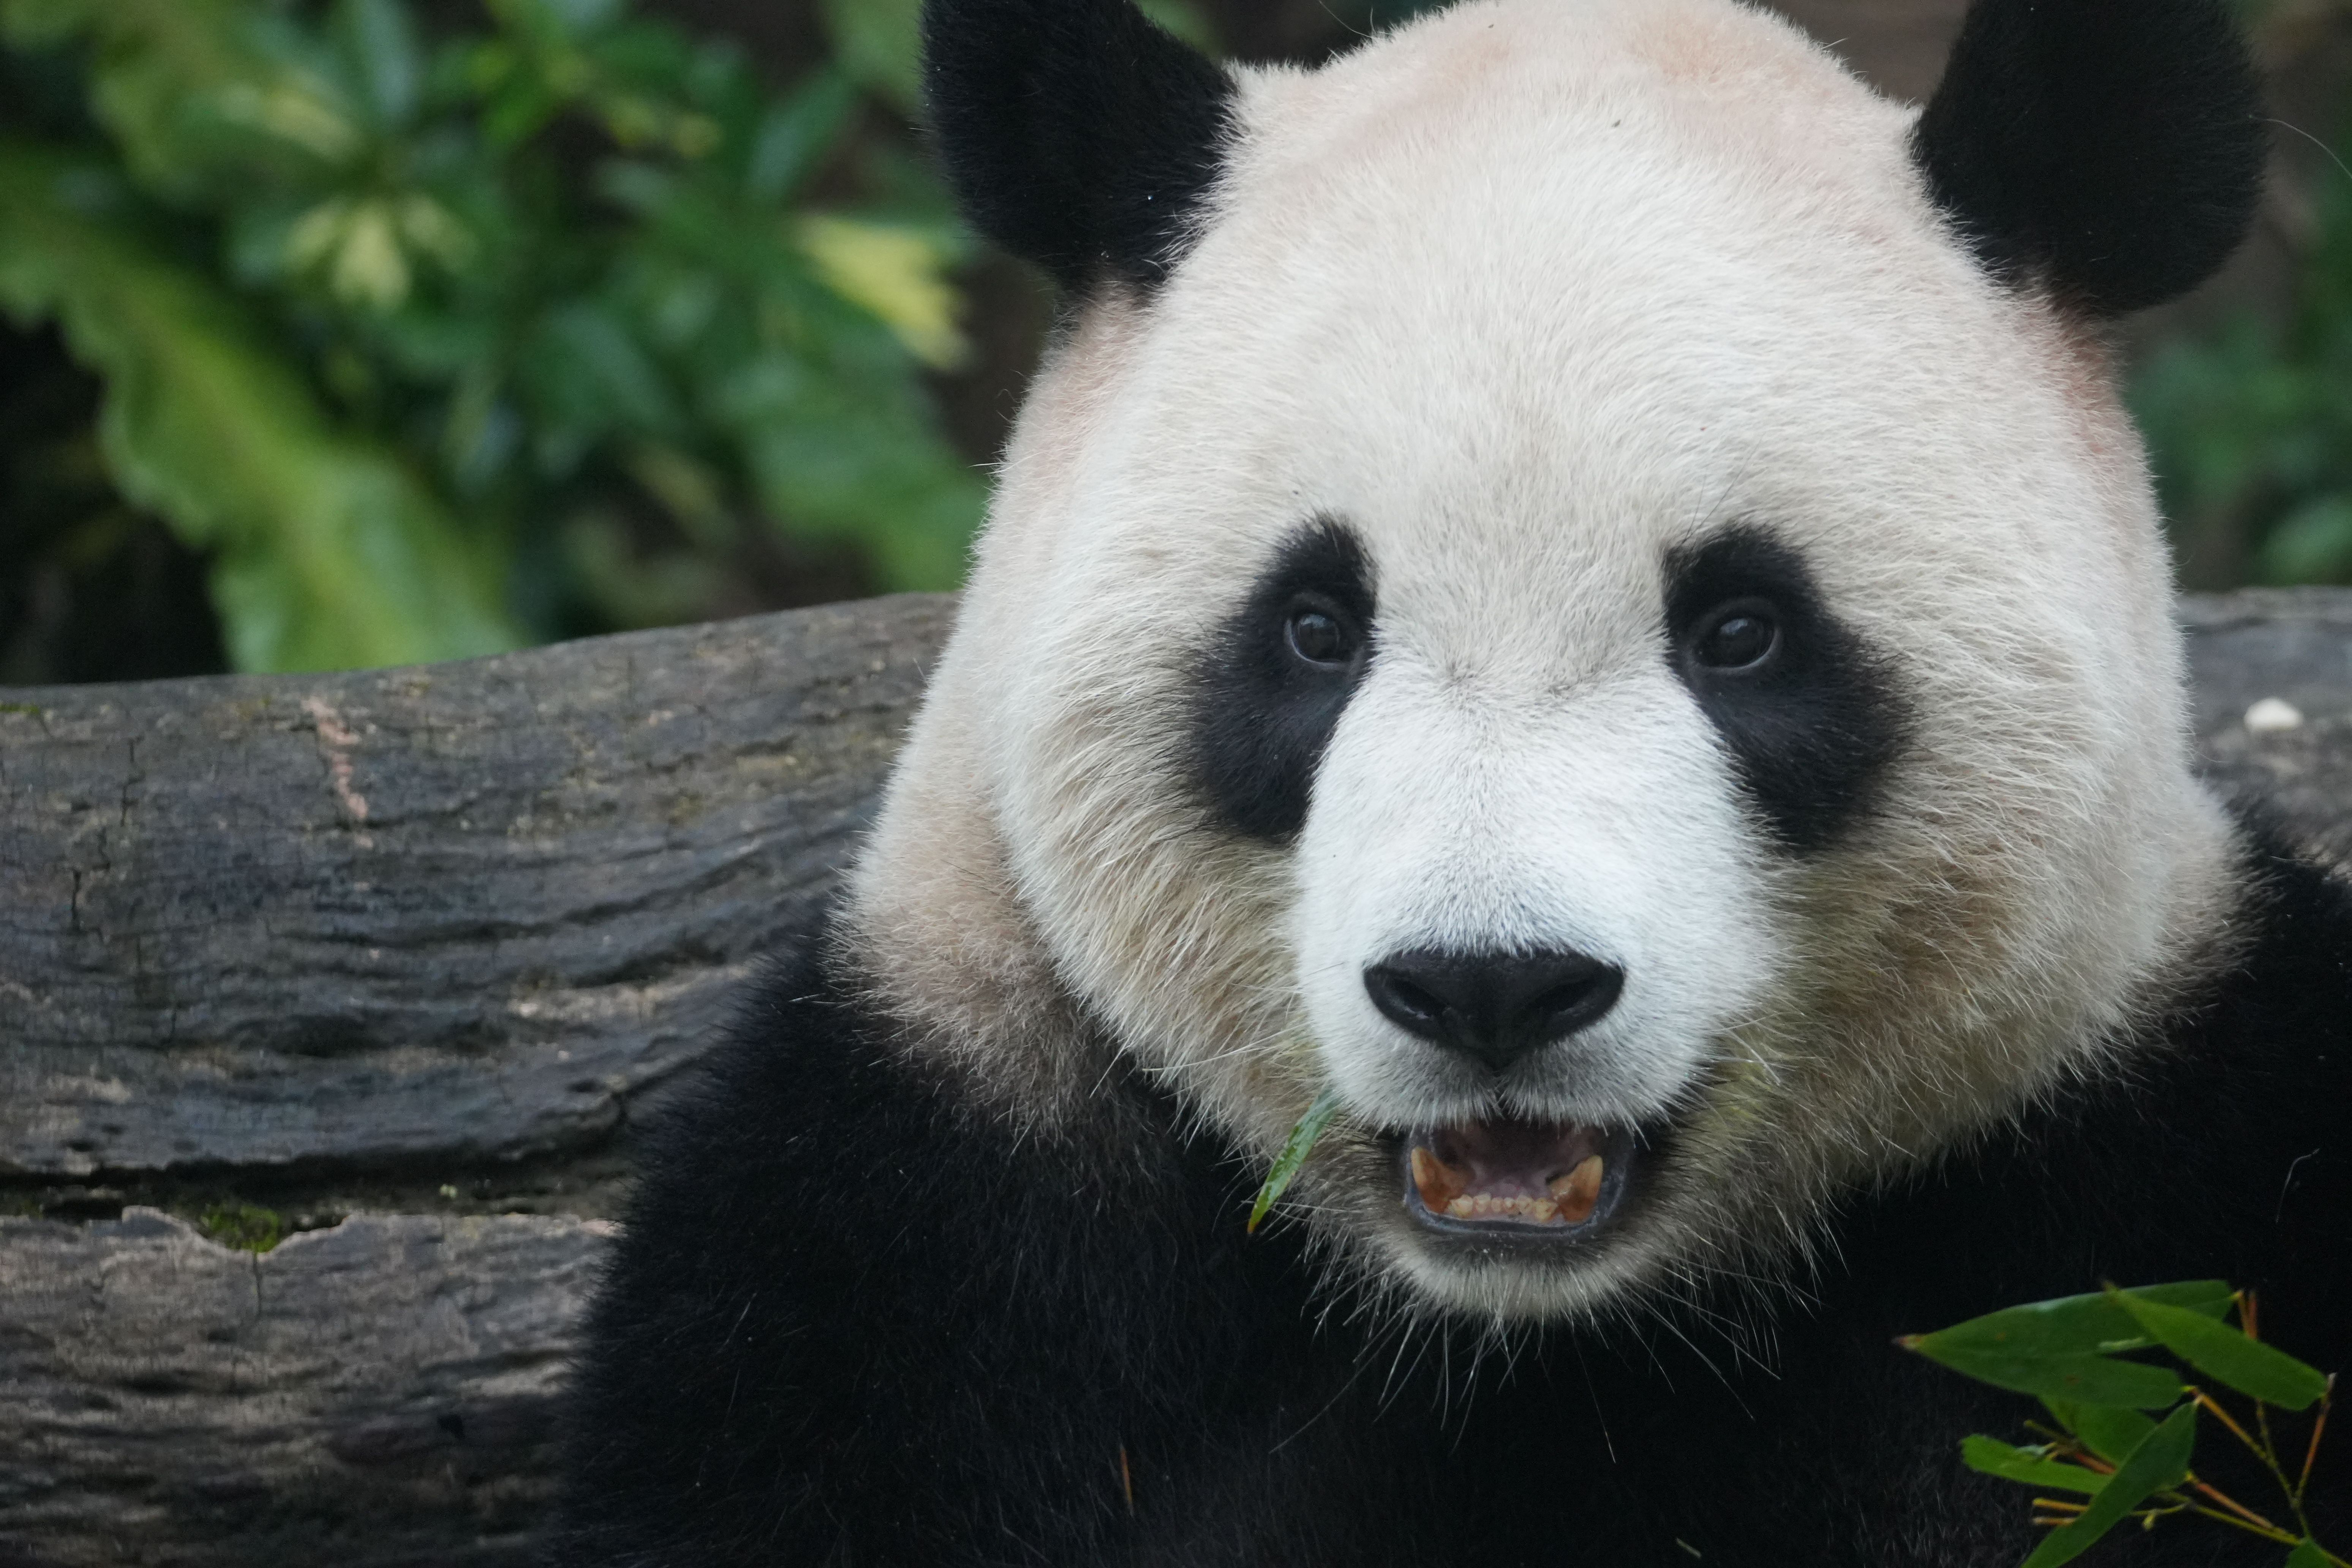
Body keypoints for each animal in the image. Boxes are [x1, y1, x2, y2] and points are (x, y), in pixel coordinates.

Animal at [552, 0, 2352, 1561]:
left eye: (1741, 631)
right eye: (1314, 627)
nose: (1490, 985)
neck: (1529, 1330)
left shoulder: (2153, 1193)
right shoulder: (930, 1234)